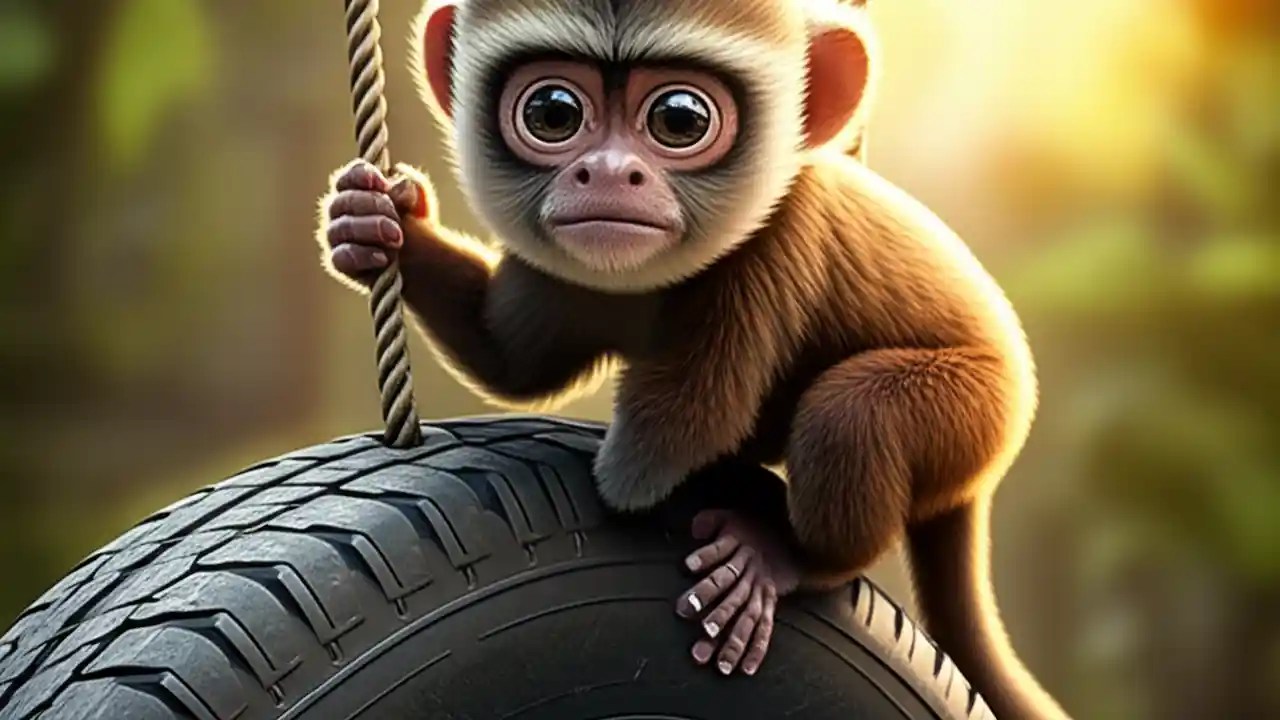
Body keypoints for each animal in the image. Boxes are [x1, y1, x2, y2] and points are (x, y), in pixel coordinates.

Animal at [316, 0, 1069, 718]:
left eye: (679, 119)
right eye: (553, 112)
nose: (609, 173)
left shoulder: (779, 235)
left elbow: (688, 419)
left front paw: (619, 487)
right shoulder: (564, 260)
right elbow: (513, 362)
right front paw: (380, 226)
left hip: (979, 407)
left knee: (851, 411)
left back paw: (788, 557)